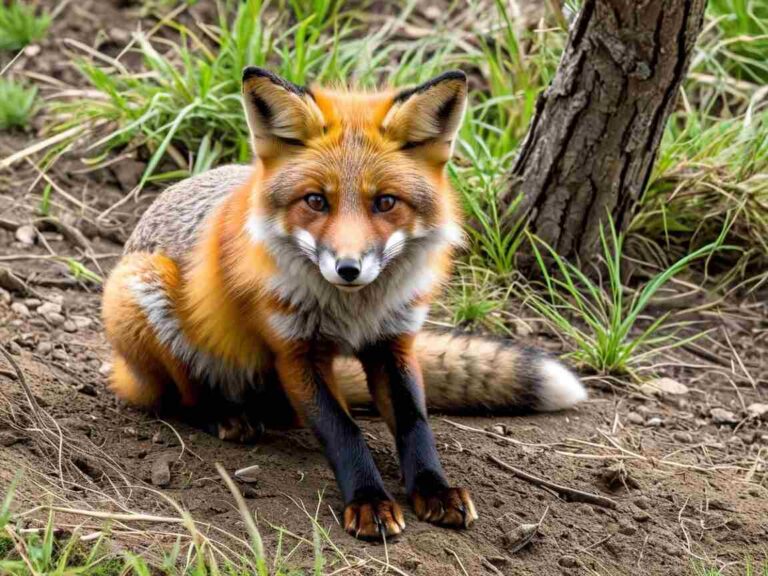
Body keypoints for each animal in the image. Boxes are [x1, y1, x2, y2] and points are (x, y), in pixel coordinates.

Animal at [102, 67, 587, 540]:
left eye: (385, 202)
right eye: (316, 200)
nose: (348, 268)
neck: (355, 312)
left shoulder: (394, 340)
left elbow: (415, 423)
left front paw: (434, 489)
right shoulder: (296, 351)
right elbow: (344, 431)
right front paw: (369, 501)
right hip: (142, 290)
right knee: (179, 398)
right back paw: (224, 413)